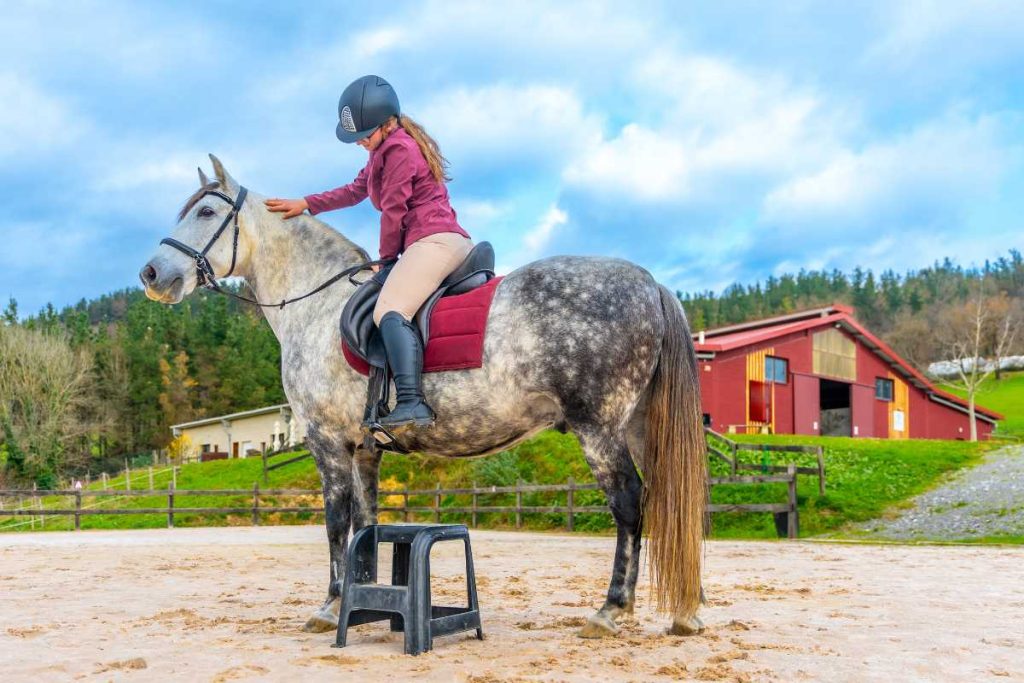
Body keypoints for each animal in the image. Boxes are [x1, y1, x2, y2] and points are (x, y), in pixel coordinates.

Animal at [139, 155, 708, 638]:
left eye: (207, 211)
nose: (152, 275)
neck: (318, 303)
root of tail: (652, 285)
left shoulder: (326, 441)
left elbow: (336, 523)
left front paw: (330, 605)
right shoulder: (364, 449)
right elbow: (367, 525)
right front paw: (365, 601)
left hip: (599, 429)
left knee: (629, 503)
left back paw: (612, 609)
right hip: (639, 427)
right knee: (672, 499)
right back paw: (687, 611)